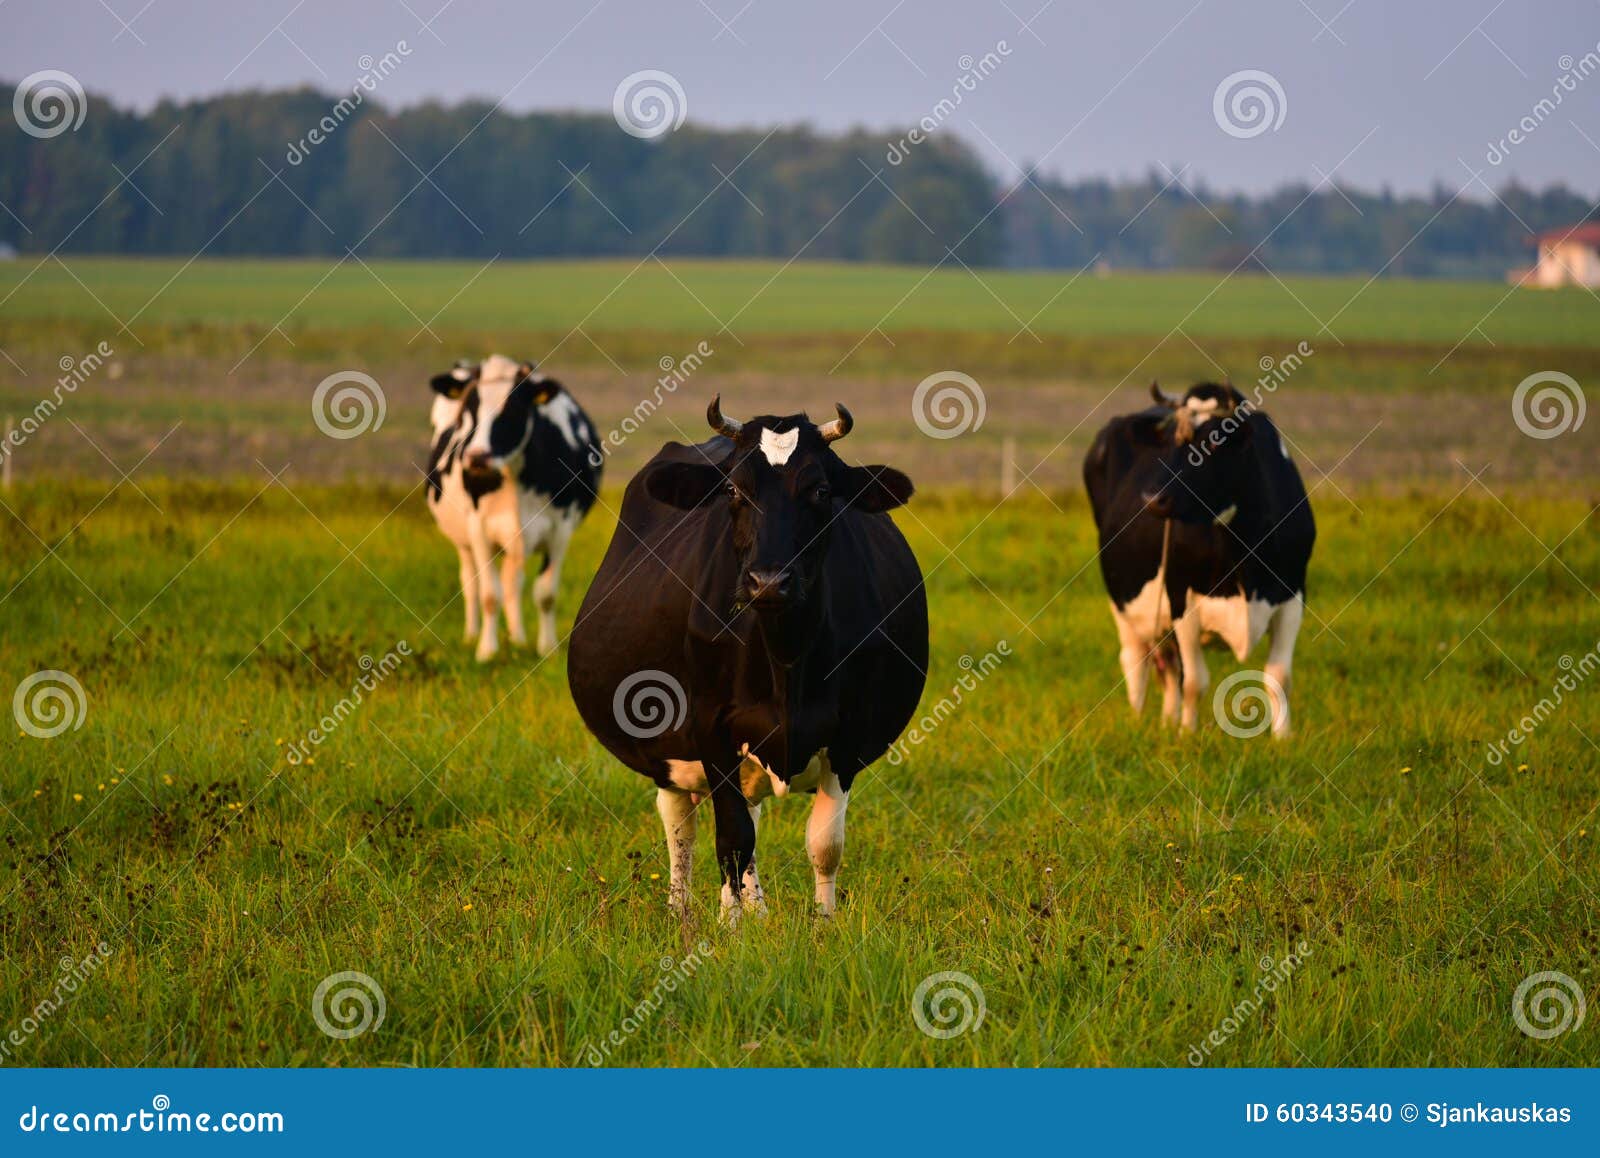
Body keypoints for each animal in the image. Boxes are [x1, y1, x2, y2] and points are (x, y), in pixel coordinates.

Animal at [426, 354, 602, 661]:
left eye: (513, 409)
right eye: (467, 412)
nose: (477, 457)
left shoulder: (560, 530)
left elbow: (545, 593)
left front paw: (547, 649)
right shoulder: (479, 530)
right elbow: (489, 595)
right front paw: (486, 651)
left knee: (512, 584)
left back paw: (518, 639)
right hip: (464, 541)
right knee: (471, 584)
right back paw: (471, 636)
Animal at [567, 397, 928, 920]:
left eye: (821, 490)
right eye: (734, 490)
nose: (768, 582)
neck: (786, 658)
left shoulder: (849, 735)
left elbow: (824, 844)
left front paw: (822, 924)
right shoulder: (709, 725)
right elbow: (732, 839)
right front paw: (729, 929)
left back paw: (753, 908)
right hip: (669, 752)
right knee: (681, 825)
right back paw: (683, 912)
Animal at [1082, 381, 1315, 737]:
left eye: (1216, 441)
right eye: (1175, 443)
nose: (1153, 498)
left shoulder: (1292, 597)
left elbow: (1279, 678)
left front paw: (1283, 740)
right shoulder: (1182, 598)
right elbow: (1195, 683)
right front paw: (1186, 737)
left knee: (1168, 669)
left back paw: (1166, 722)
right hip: (1123, 604)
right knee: (1137, 664)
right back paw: (1137, 723)